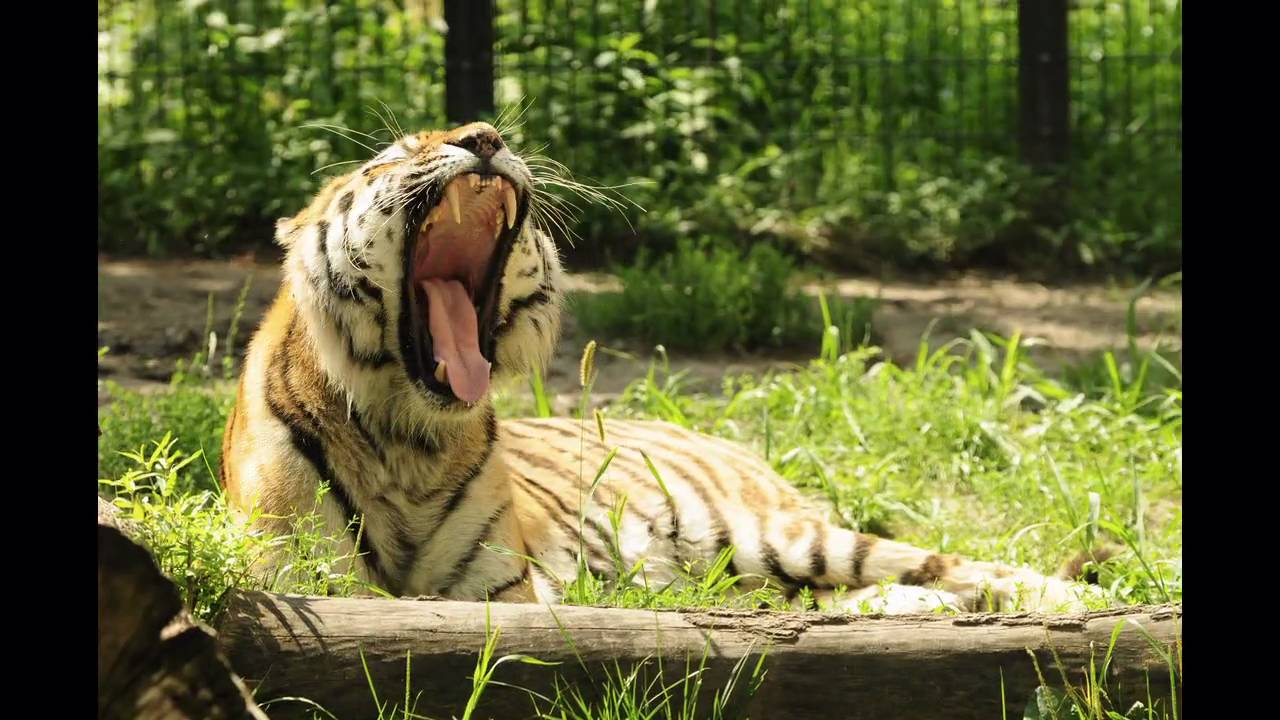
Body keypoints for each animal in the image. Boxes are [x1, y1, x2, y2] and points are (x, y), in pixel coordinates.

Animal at [220, 121, 1099, 614]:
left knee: (951, 564)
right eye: (397, 154)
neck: (409, 435)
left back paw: (1080, 597)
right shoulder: (299, 575)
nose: (485, 136)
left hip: (778, 535)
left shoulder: (501, 592)